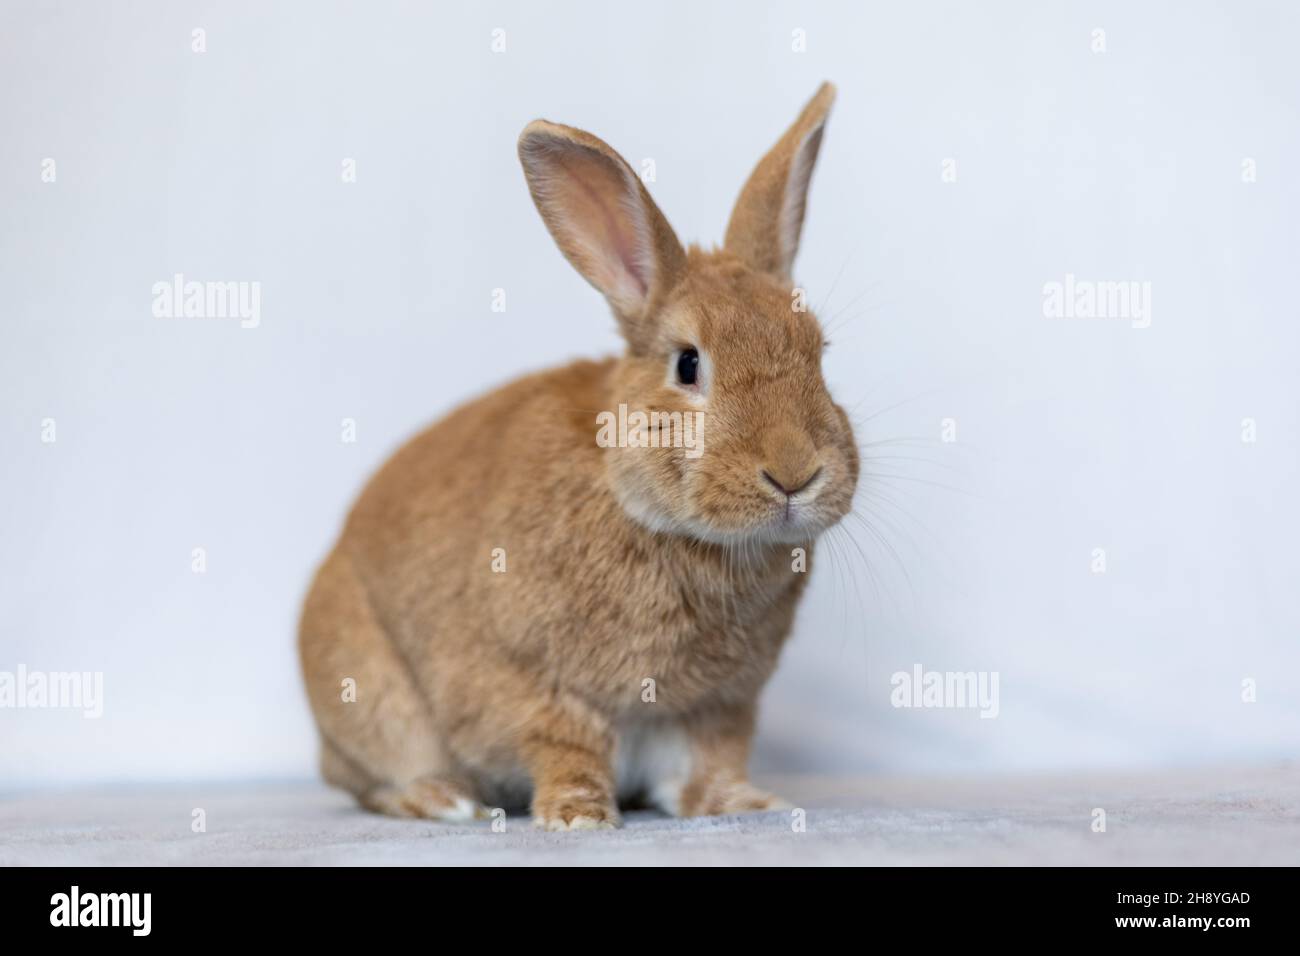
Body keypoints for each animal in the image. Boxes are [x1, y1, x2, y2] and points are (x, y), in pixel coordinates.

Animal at [299, 82, 858, 830]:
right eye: (688, 364)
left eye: (818, 353)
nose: (795, 473)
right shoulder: (535, 683)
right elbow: (566, 745)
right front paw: (579, 816)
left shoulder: (719, 708)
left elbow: (710, 762)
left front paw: (744, 805)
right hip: (373, 704)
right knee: (371, 781)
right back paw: (444, 800)